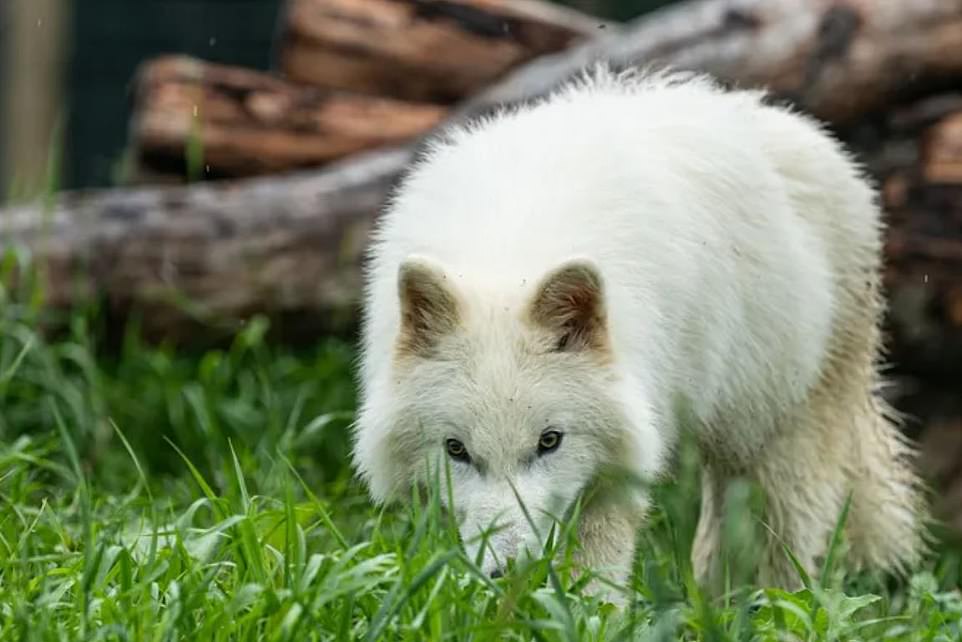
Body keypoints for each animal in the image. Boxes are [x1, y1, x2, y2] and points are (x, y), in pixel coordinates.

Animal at [351, 66, 926, 597]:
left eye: (549, 441)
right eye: (457, 450)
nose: (508, 570)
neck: (508, 250)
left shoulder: (619, 465)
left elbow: (596, 575)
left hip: (776, 435)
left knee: (780, 546)